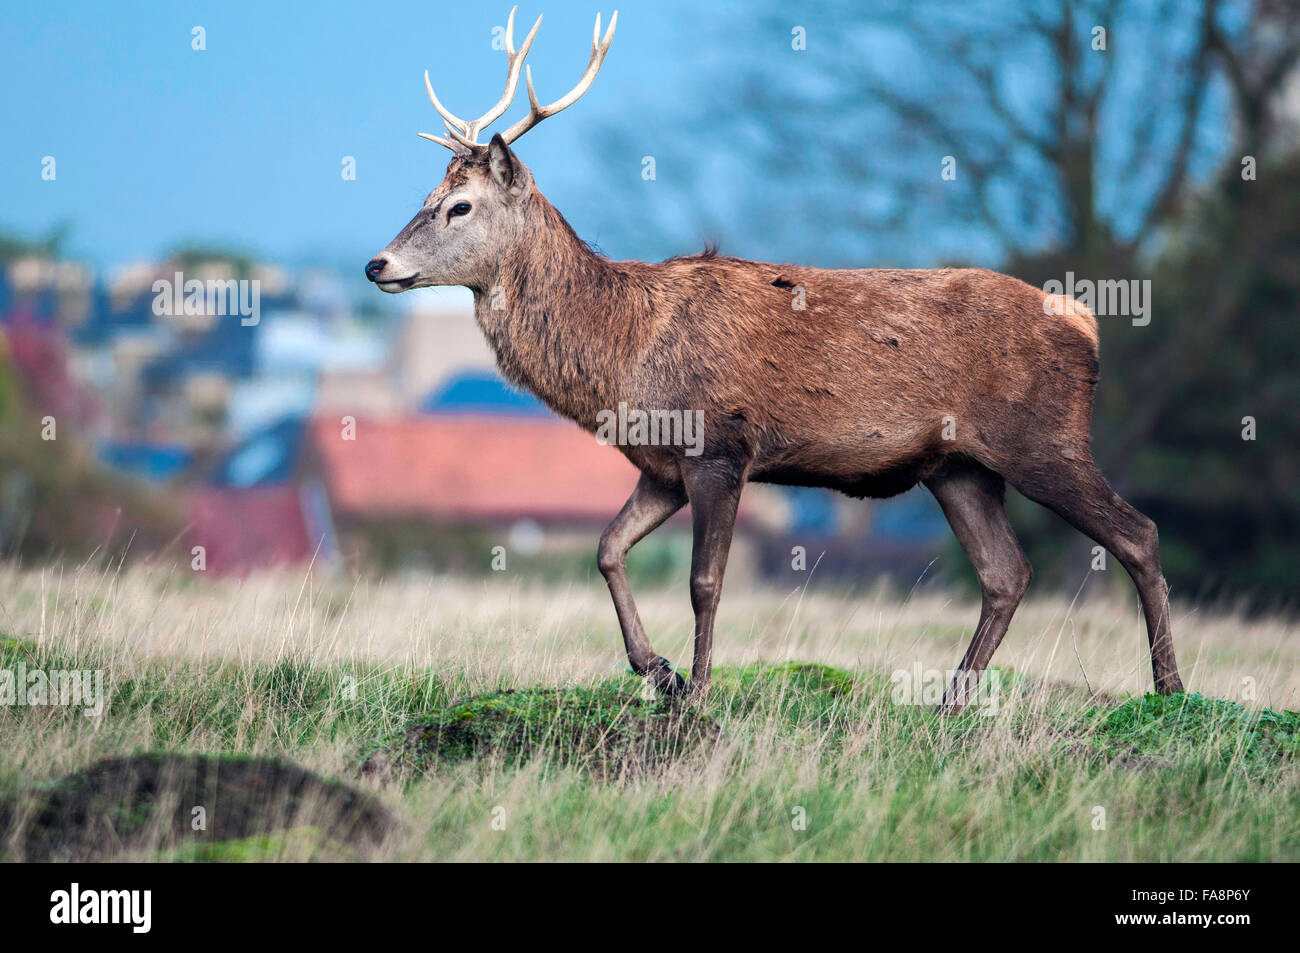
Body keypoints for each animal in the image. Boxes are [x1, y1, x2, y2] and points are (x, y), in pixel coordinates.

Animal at [365, 7, 1184, 709]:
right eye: (426, 194)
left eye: (459, 206)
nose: (377, 264)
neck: (624, 352)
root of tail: (1086, 322)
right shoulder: (661, 468)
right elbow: (605, 549)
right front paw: (657, 670)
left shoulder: (721, 445)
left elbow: (704, 580)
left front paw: (696, 691)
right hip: (959, 467)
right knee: (1006, 572)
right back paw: (952, 701)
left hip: (1043, 439)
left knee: (1136, 533)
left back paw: (1169, 688)